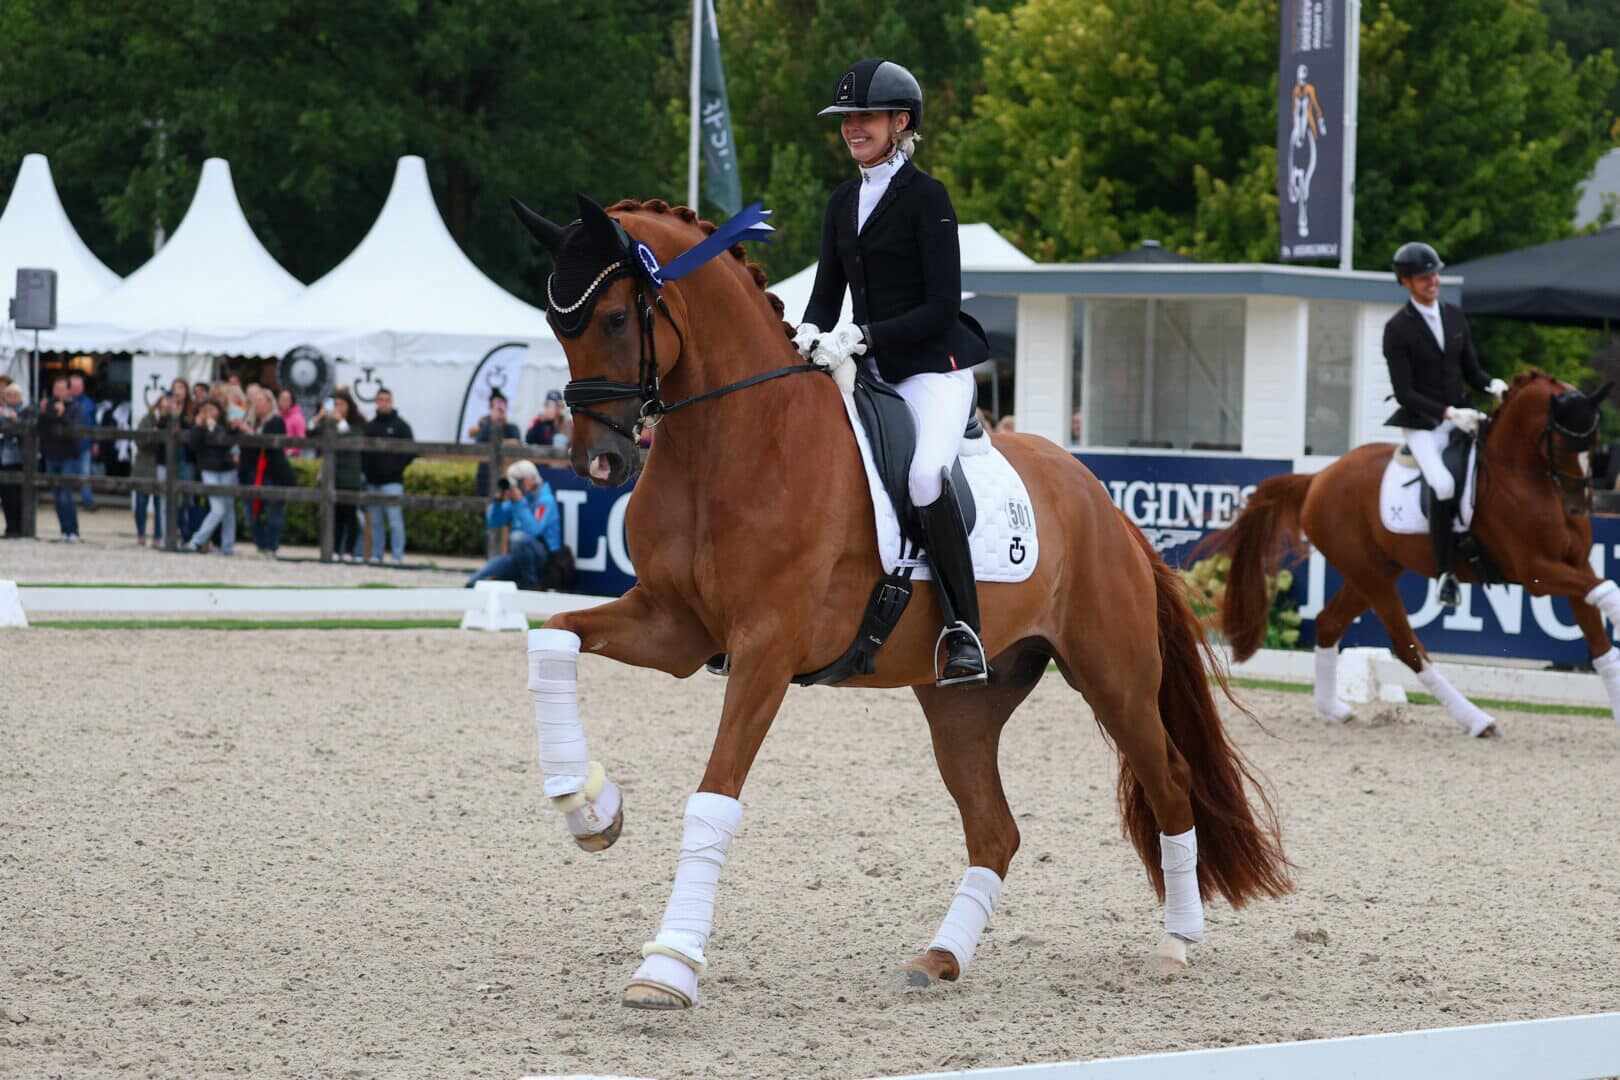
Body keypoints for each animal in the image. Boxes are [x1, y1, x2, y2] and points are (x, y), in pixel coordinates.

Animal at [512, 194, 1291, 1011]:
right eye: (557, 324)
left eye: (615, 320)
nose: (600, 462)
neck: (734, 437)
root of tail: (1105, 505)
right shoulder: (677, 629)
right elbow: (551, 636)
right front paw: (588, 807)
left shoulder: (766, 650)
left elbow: (713, 799)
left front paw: (666, 970)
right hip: (962, 704)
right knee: (995, 830)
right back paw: (941, 957)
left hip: (1115, 677)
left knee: (1169, 783)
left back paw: (1178, 942)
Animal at [1203, 371, 1620, 736]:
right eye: (1563, 443)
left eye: (1596, 440)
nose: (1579, 505)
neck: (1522, 478)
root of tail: (1318, 478)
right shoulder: (1535, 572)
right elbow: (1609, 593)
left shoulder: (1575, 563)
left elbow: (1600, 636)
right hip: (1371, 576)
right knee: (1407, 647)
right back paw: (1476, 720)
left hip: (1373, 572)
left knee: (1328, 624)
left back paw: (1333, 709)